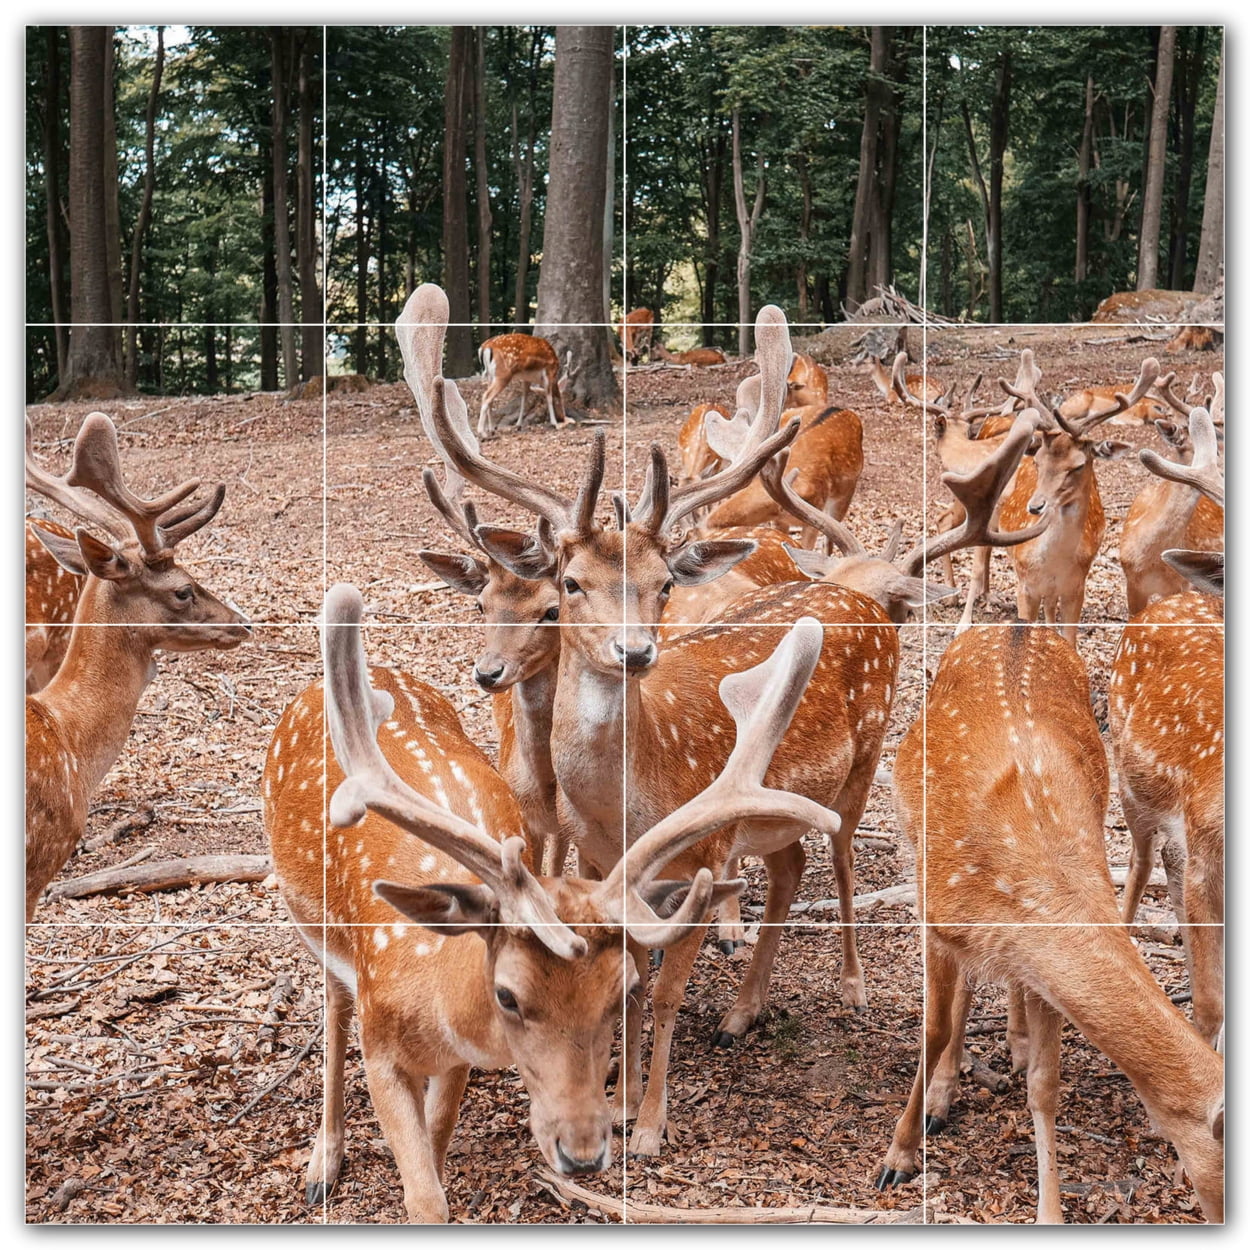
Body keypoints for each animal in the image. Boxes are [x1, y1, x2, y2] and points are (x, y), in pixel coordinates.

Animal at [266, 581, 837, 1221]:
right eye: (507, 996)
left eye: (620, 993)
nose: (583, 1153)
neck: (433, 998)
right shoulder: (381, 1048)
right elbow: (424, 1198)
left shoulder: (455, 1064)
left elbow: (436, 1152)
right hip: (309, 923)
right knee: (333, 1006)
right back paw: (323, 1162)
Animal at [876, 625, 1224, 1224]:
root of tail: (1014, 626)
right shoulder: (935, 921)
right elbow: (933, 1029)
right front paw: (898, 1156)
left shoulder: (1037, 962)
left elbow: (1045, 1085)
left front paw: (1051, 1214)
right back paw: (941, 1098)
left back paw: (1010, 1046)